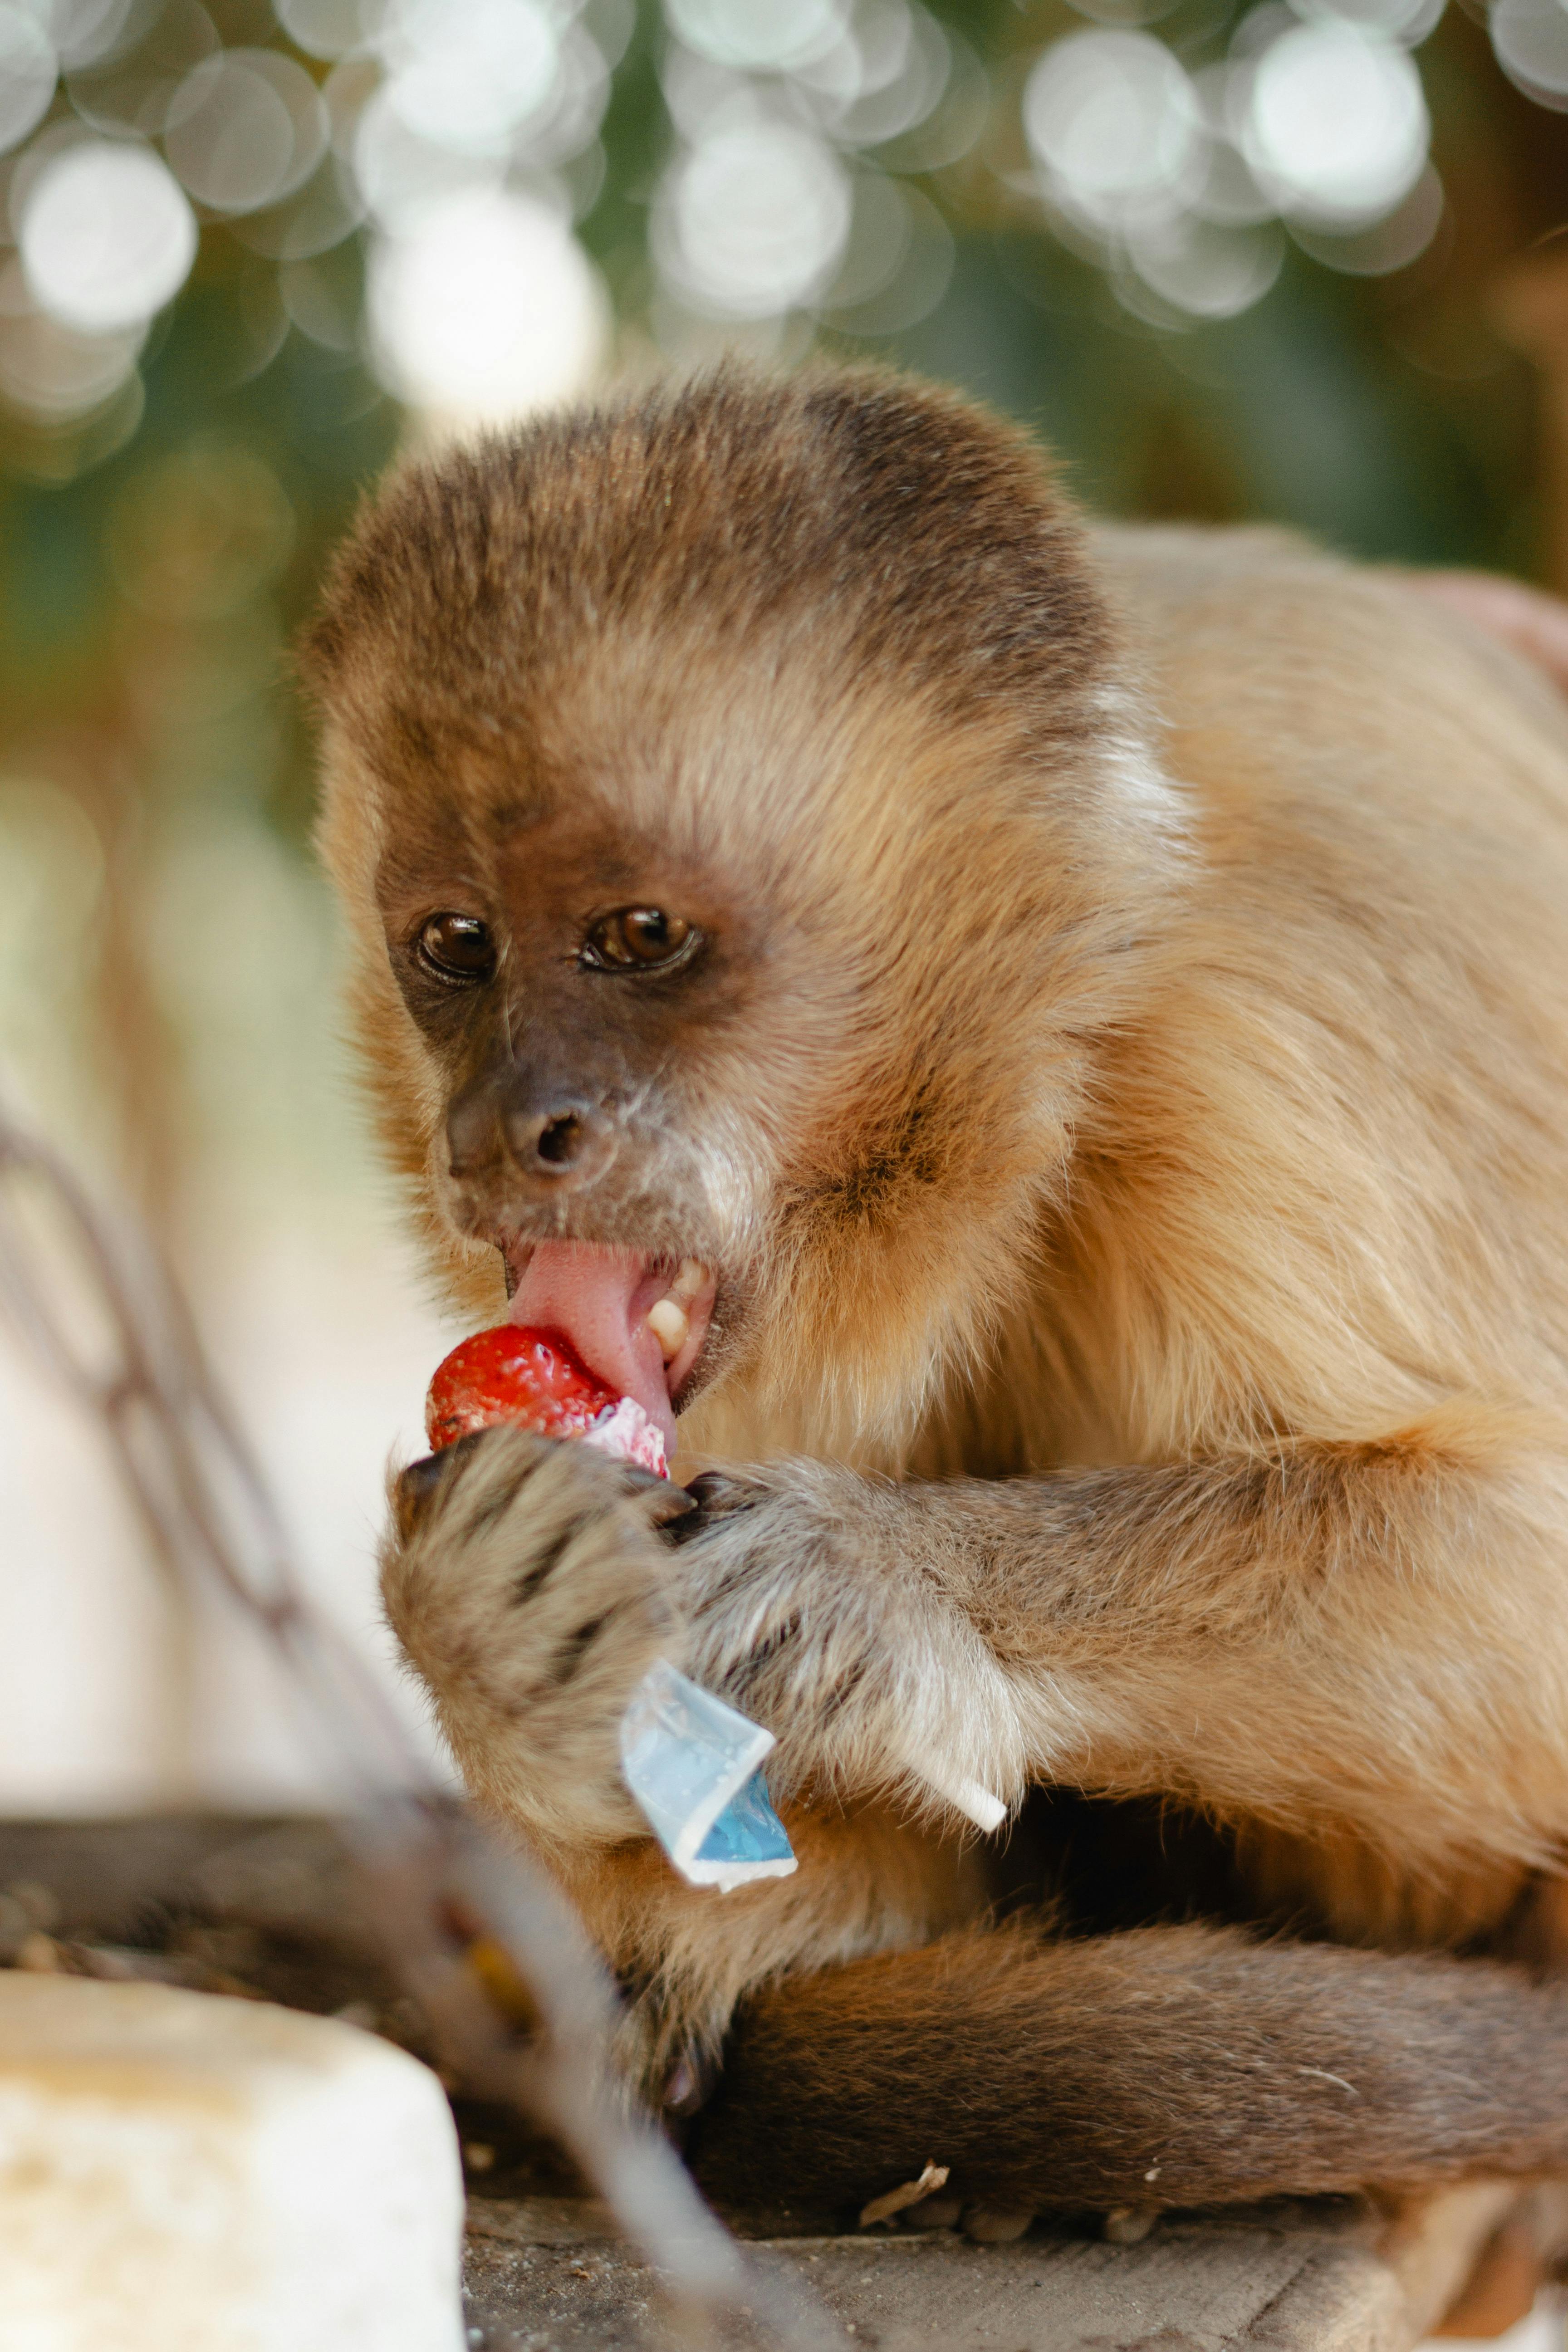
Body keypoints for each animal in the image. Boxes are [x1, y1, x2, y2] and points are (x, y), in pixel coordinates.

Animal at [302, 361, 1568, 2231]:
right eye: (455, 949)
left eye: (638, 938)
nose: (503, 1129)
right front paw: (498, 1645)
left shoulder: (1266, 1035)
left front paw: (876, 1583)